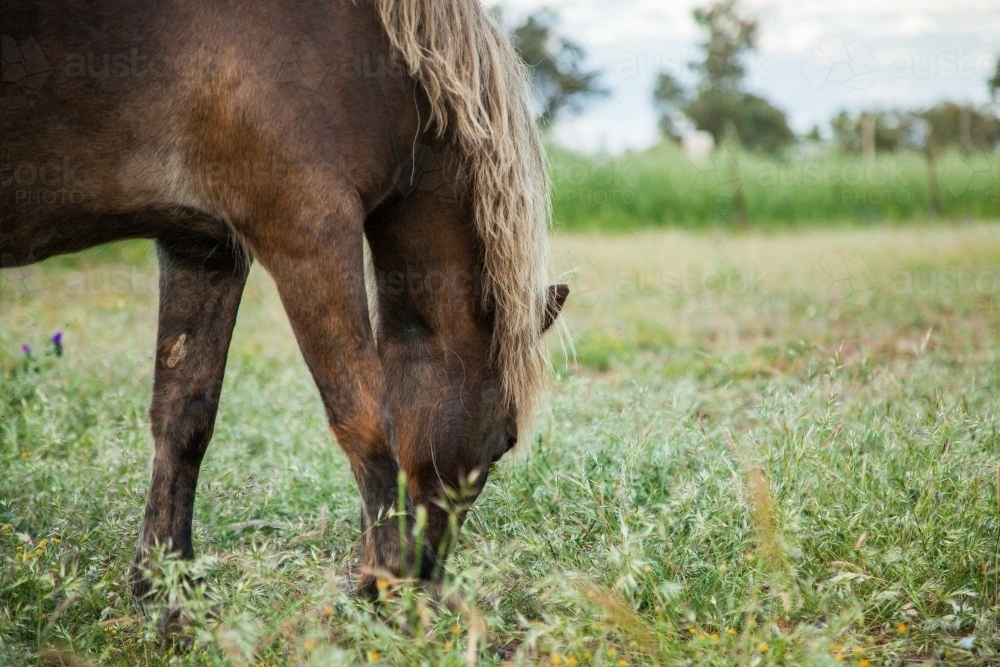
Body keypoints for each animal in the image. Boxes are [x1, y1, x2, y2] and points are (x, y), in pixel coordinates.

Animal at [1, 0, 567, 599]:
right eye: (505, 439)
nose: (427, 575)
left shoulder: (203, 246)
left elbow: (184, 415)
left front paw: (166, 586)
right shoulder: (307, 229)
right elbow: (365, 417)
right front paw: (385, 586)